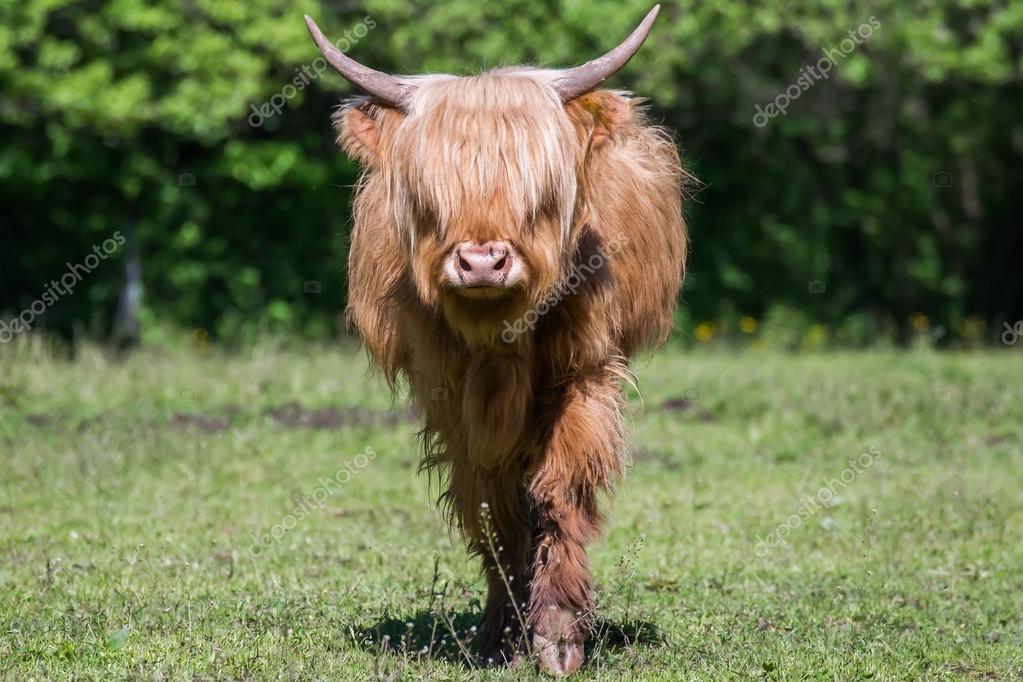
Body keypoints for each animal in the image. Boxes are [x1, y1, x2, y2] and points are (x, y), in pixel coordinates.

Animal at [305, 5, 687, 676]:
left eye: (538, 191)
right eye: (431, 192)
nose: (482, 261)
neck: (500, 342)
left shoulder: (585, 373)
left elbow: (558, 493)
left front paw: (558, 637)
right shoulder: (451, 398)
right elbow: (491, 507)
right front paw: (503, 635)